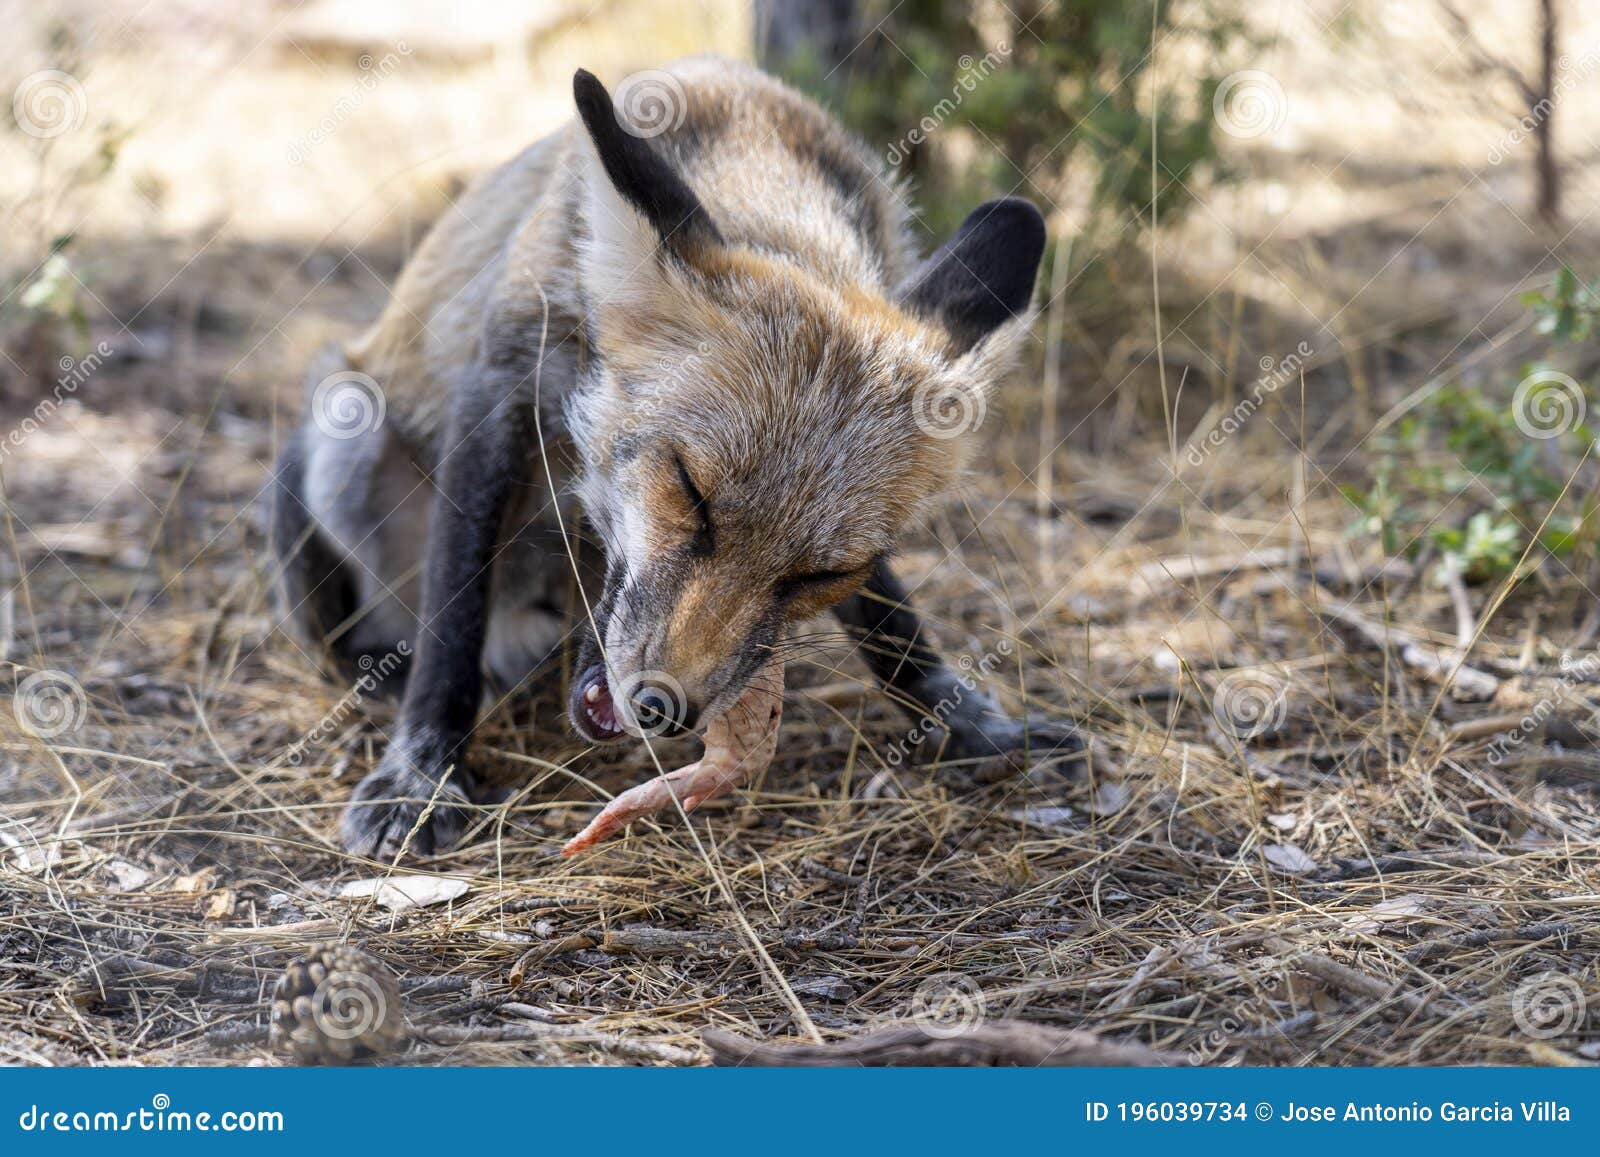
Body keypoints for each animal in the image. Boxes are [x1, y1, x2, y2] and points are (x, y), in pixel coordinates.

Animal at [270, 56, 1080, 859]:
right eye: (690, 491)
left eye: (821, 575)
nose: (663, 706)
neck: (752, 146)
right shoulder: (497, 387)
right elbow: (453, 617)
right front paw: (421, 775)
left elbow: (893, 622)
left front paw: (966, 723)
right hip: (346, 423)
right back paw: (382, 673)